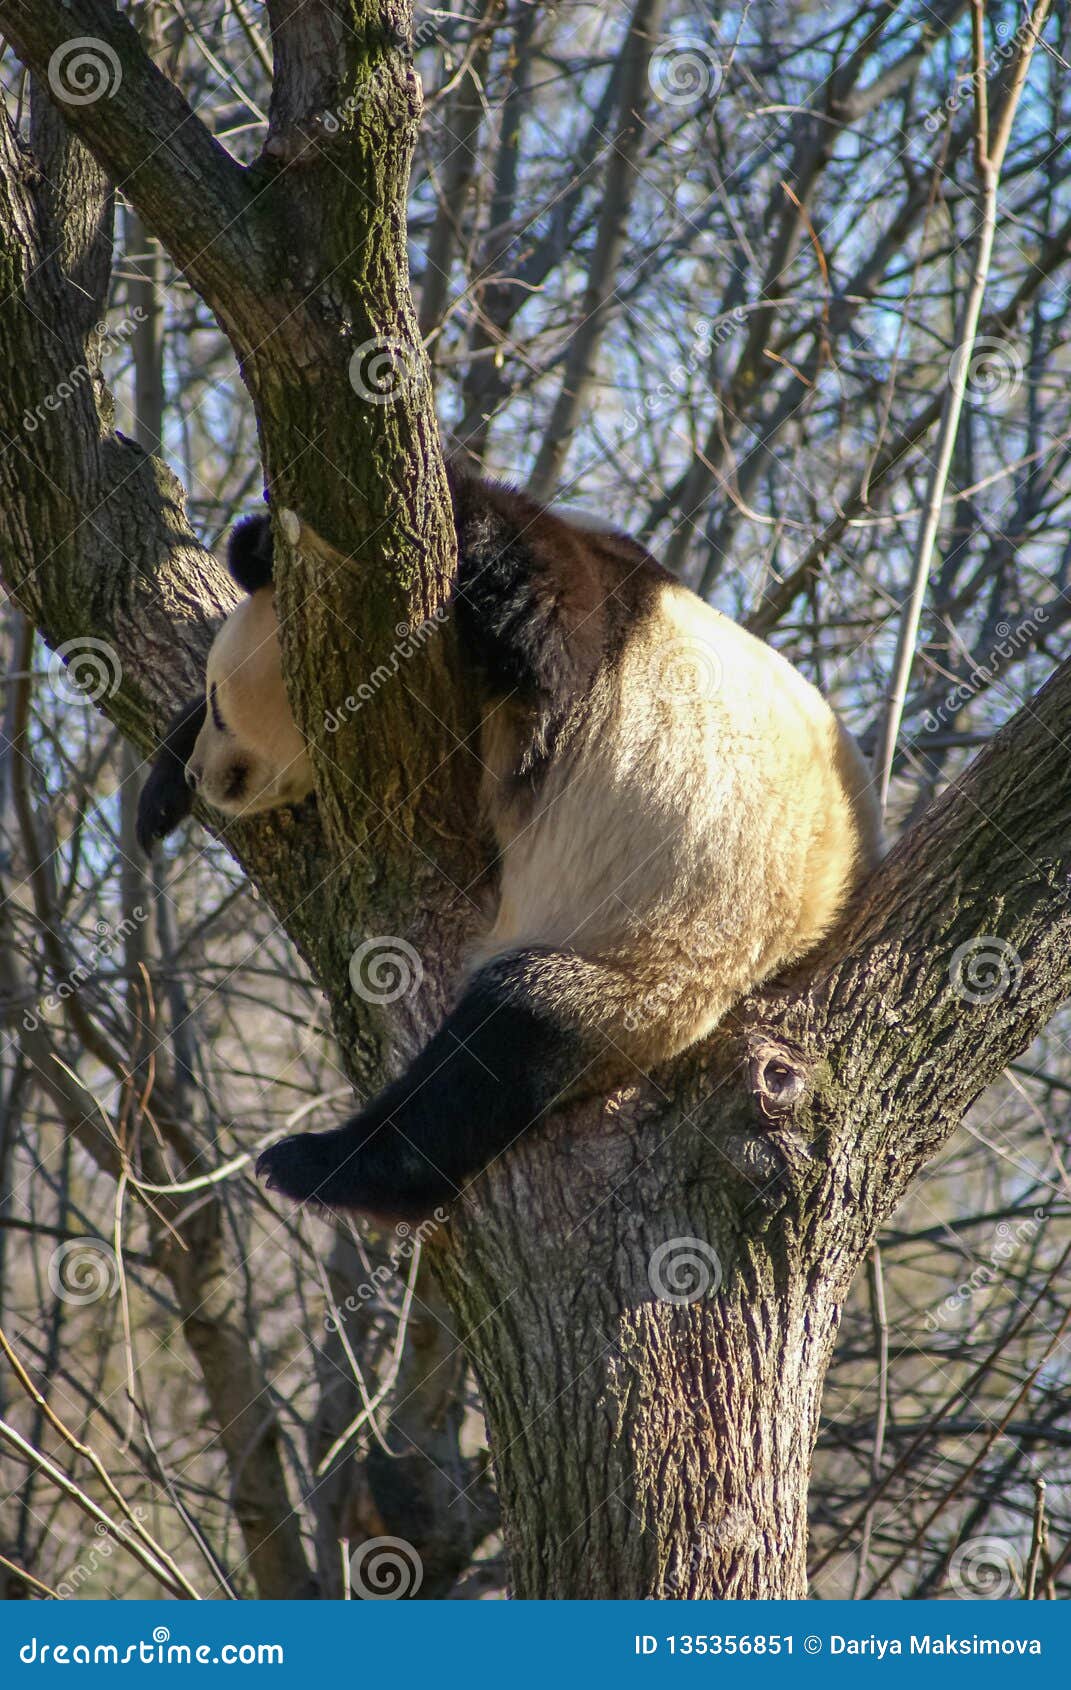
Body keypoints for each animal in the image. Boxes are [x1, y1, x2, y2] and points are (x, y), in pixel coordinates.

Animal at [137, 464, 882, 1219]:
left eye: (223, 701)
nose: (204, 775)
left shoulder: (566, 652)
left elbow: (535, 594)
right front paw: (158, 790)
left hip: (655, 959)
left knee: (501, 1043)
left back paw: (328, 1163)